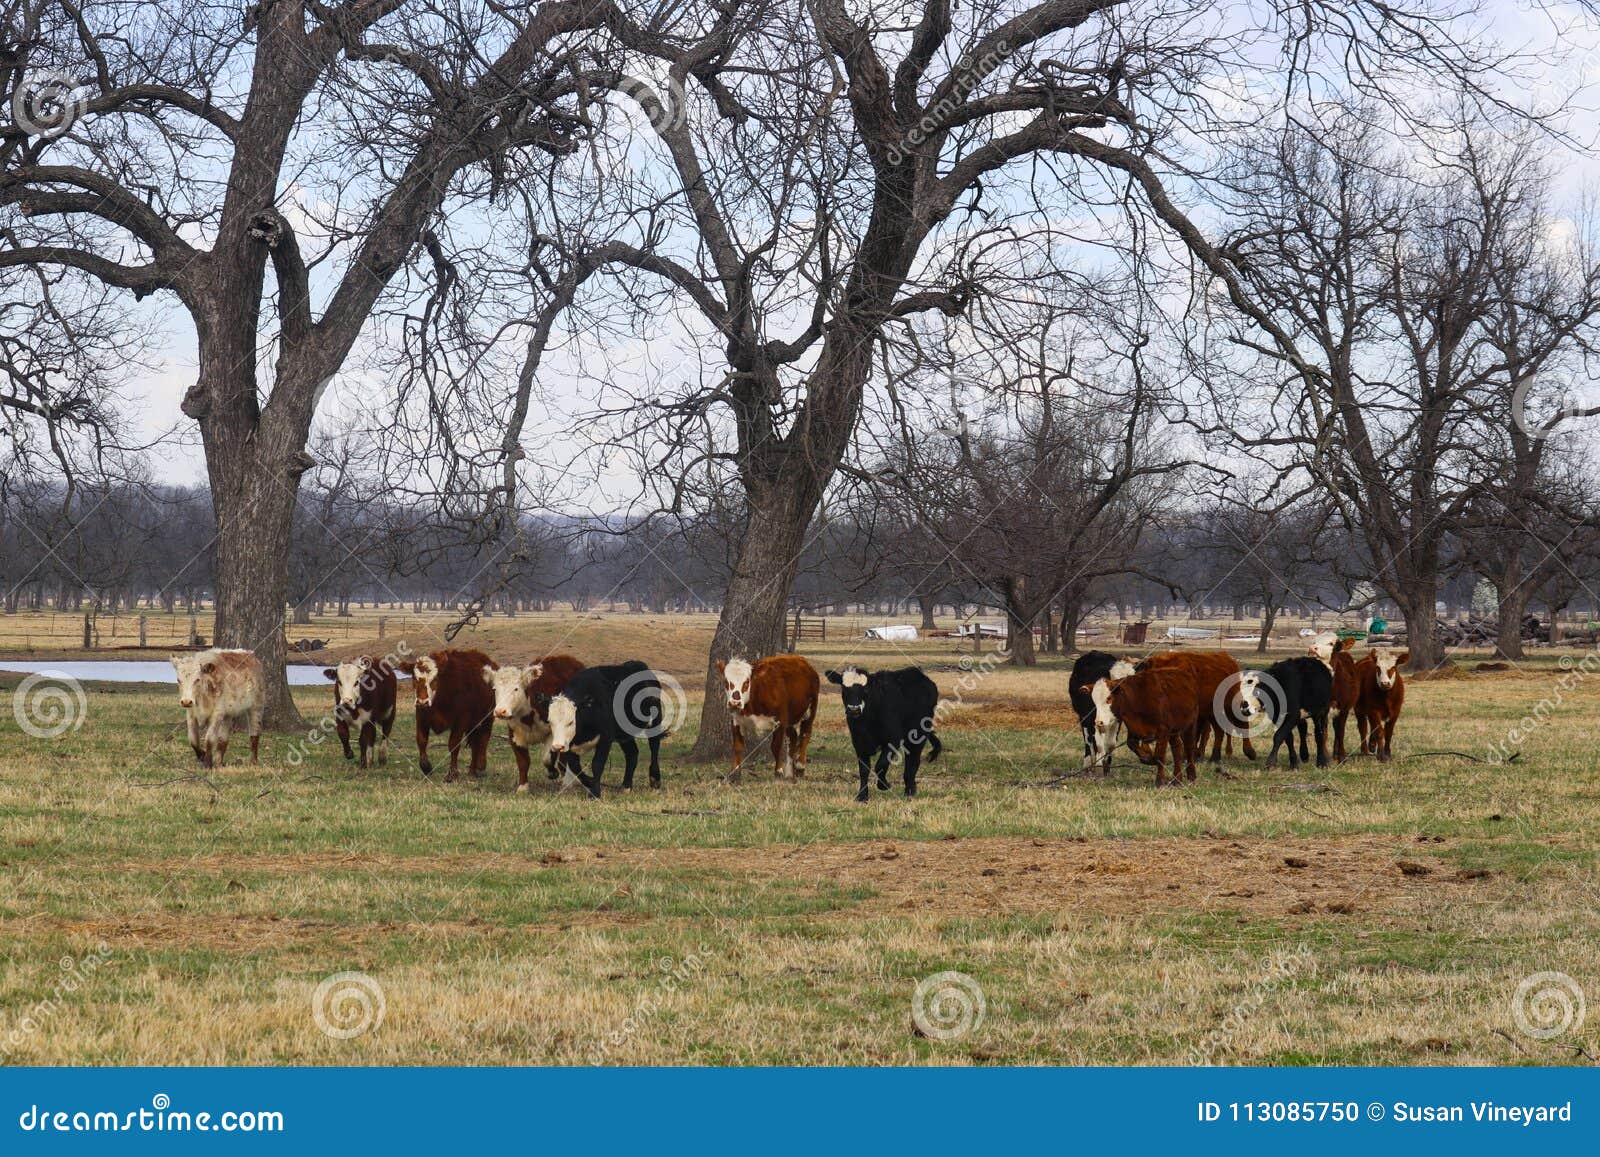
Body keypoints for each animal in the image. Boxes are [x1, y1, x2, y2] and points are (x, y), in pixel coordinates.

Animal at [397, 649, 497, 782]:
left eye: (434, 679)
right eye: (414, 678)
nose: (422, 701)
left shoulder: (460, 722)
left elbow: (454, 745)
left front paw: (452, 774)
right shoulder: (422, 718)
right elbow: (421, 740)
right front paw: (426, 767)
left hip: (487, 718)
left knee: (483, 739)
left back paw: (480, 767)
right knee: (475, 742)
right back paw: (472, 770)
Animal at [483, 654, 586, 791]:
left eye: (516, 688)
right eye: (495, 689)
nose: (500, 711)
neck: (528, 716)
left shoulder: (553, 734)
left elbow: (547, 758)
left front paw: (553, 773)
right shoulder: (515, 736)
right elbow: (523, 762)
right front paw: (523, 787)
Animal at [546, 660, 665, 799]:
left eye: (570, 722)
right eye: (550, 721)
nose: (557, 746)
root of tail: (639, 665)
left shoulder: (605, 738)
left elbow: (597, 764)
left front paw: (595, 793)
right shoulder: (570, 744)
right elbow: (575, 767)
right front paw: (590, 781)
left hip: (655, 721)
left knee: (654, 746)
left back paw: (655, 782)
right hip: (623, 734)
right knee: (632, 754)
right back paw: (626, 786)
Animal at [824, 666, 943, 802]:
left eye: (866, 689)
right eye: (844, 689)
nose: (854, 709)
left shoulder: (893, 740)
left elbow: (880, 765)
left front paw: (884, 785)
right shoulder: (859, 742)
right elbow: (864, 770)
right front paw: (862, 796)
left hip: (919, 733)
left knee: (913, 760)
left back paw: (910, 790)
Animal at [1308, 633, 1360, 761]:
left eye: (1331, 643)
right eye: (1314, 641)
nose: (1312, 648)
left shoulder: (1344, 709)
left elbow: (1340, 732)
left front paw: (1342, 756)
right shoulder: (1317, 711)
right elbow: (1321, 734)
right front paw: (1323, 757)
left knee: (1337, 729)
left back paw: (1336, 754)